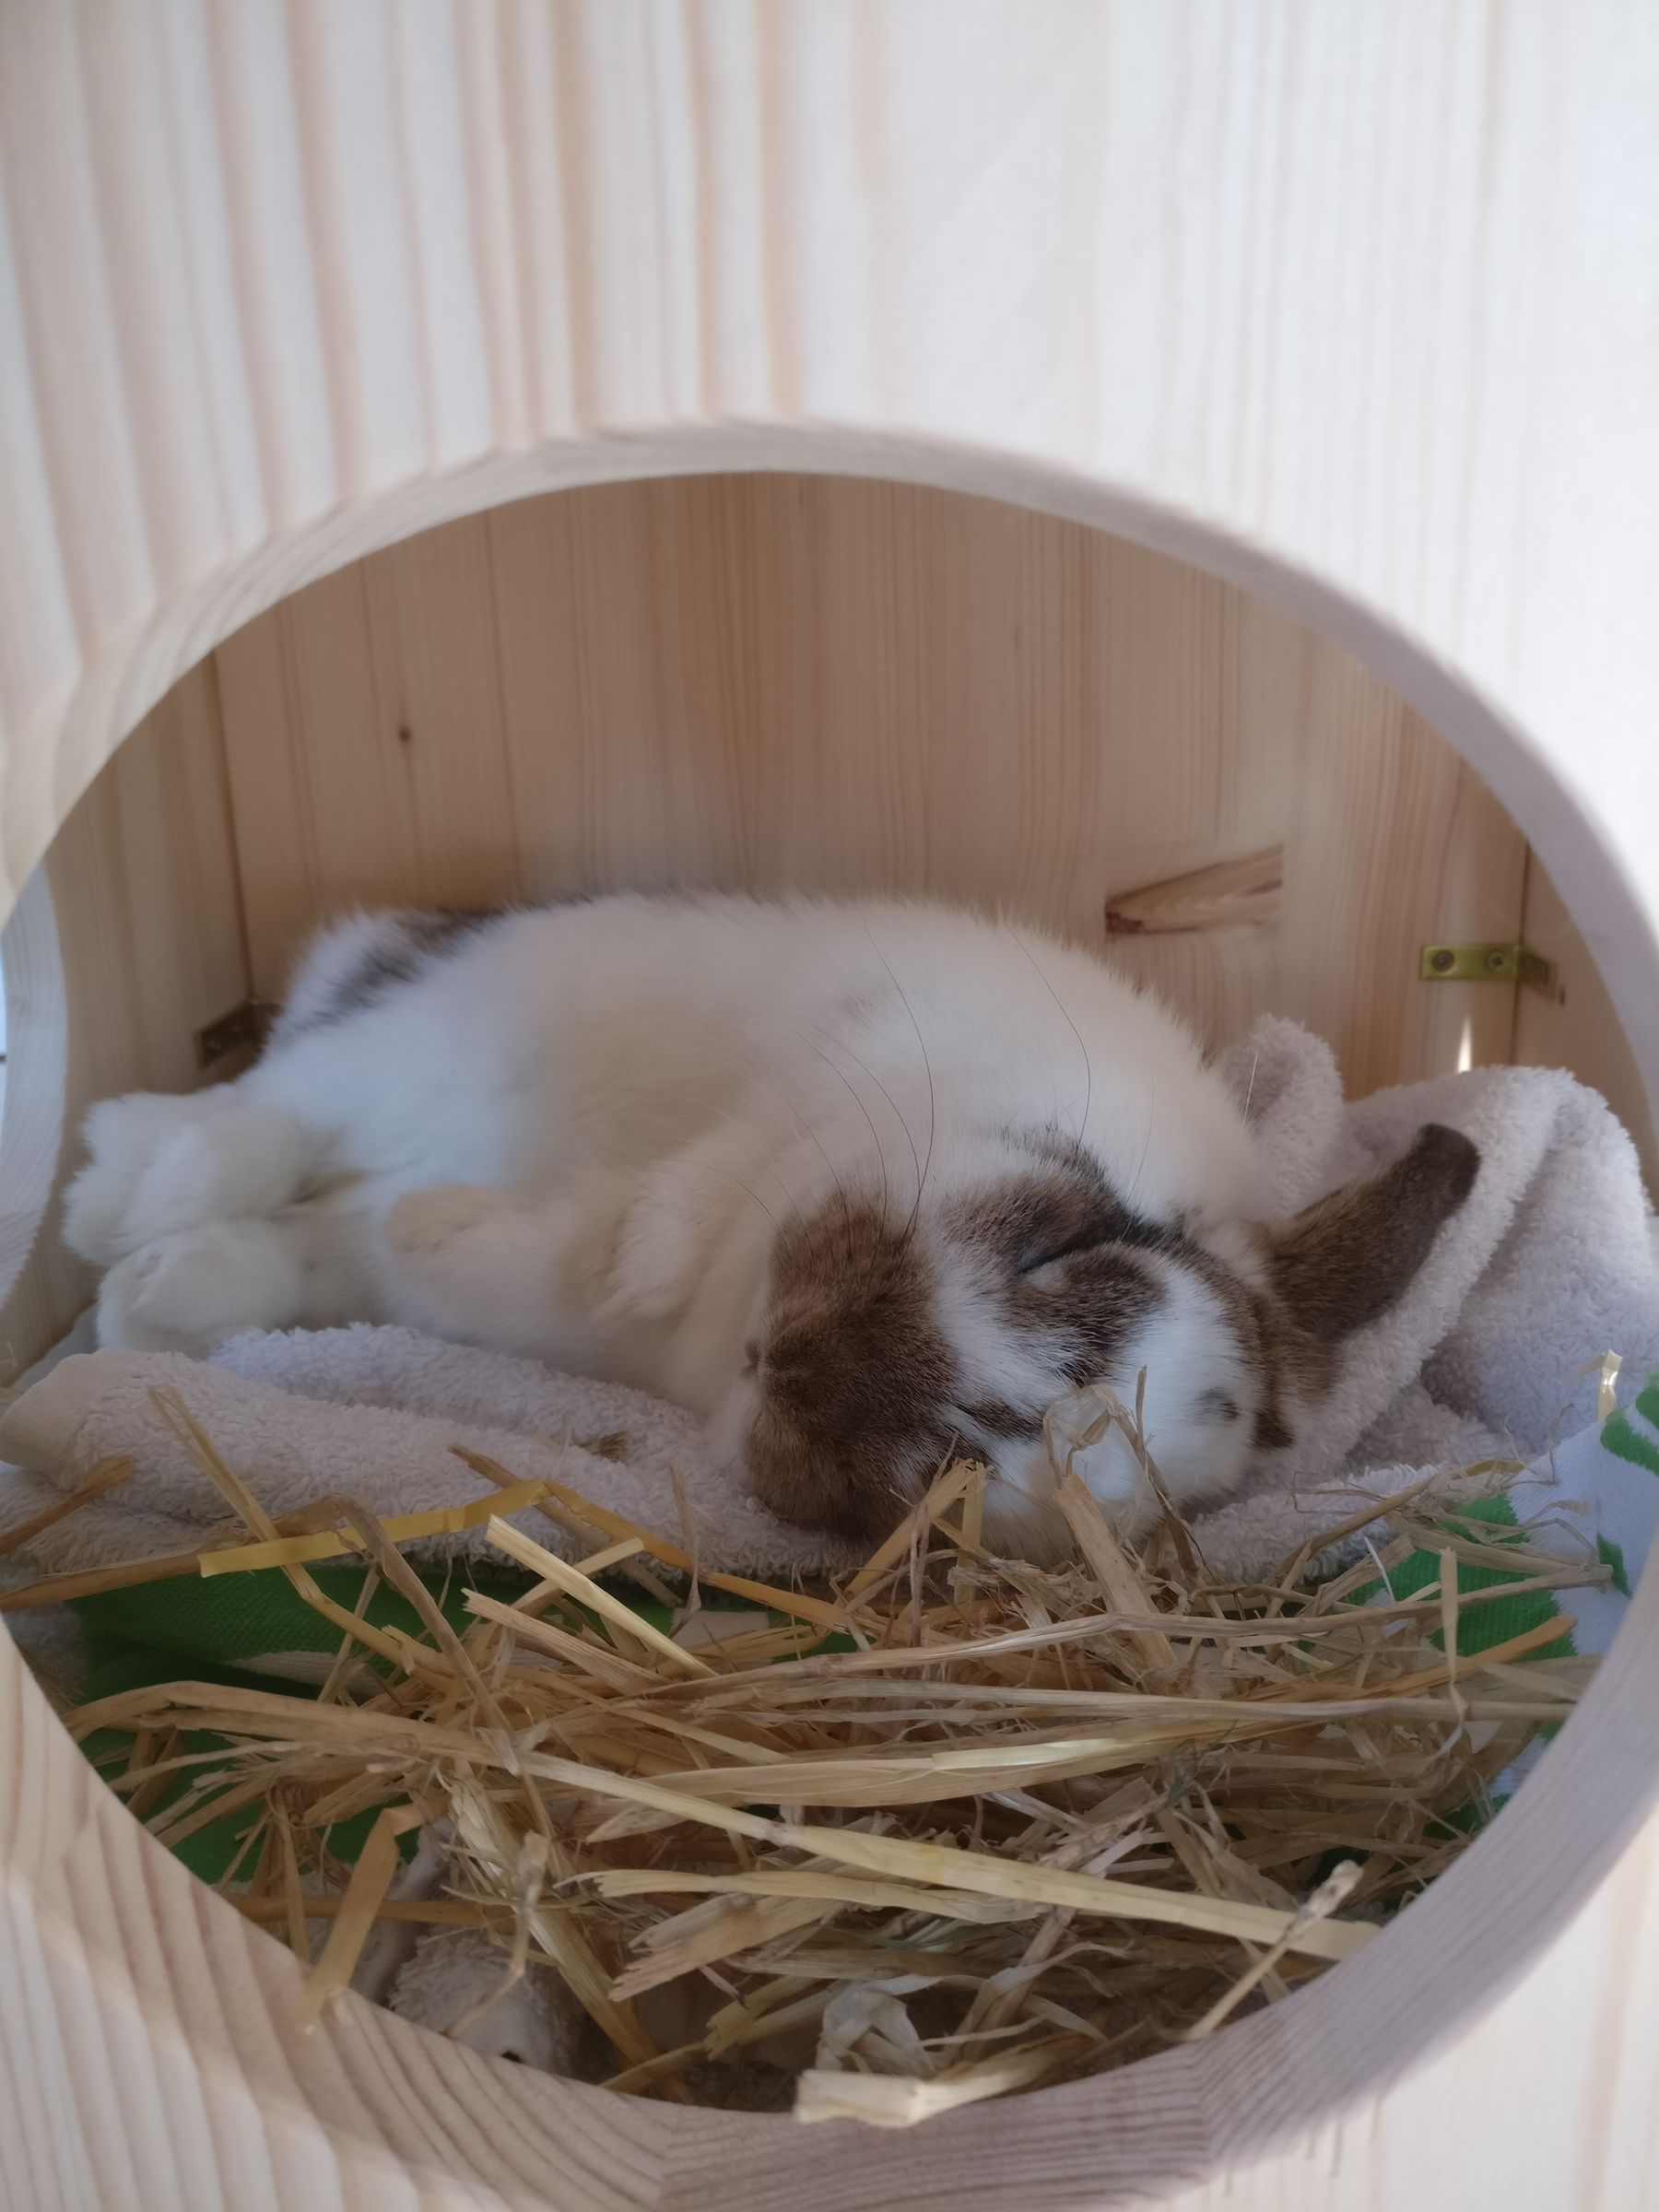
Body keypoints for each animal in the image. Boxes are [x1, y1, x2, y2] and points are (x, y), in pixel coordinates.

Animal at [62, 893, 1478, 1558]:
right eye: (1058, 1248)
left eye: (959, 1476)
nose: (791, 1354)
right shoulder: (835, 1082)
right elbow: (686, 1191)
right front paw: (617, 1252)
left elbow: (485, 1263)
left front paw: (444, 1237)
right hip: (436, 1034)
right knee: (271, 1112)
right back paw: (115, 1190)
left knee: (313, 1218)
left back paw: (158, 1290)